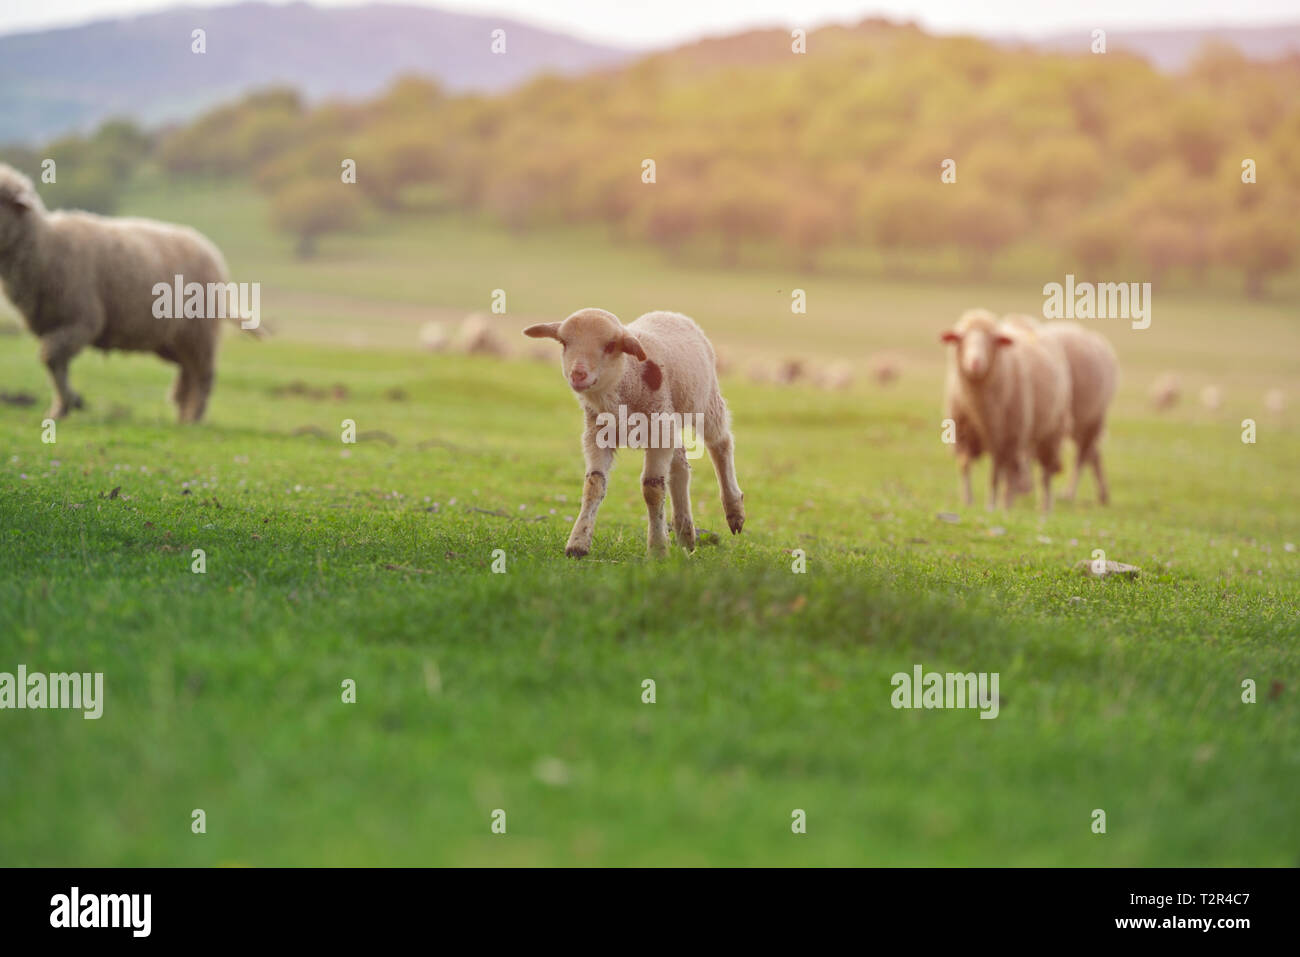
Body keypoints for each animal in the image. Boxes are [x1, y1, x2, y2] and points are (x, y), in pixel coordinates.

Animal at [0, 163, 242, 422]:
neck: (45, 246)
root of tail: (209, 248)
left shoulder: (83, 321)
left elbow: (50, 358)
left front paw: (68, 403)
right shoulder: (57, 325)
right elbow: (57, 365)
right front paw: (63, 406)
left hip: (199, 331)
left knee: (203, 375)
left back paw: (192, 417)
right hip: (174, 339)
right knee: (187, 372)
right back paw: (182, 413)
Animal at [524, 308, 744, 557]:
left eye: (610, 345)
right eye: (563, 342)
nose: (578, 375)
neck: (627, 378)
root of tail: (669, 313)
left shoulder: (657, 430)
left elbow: (652, 488)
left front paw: (657, 549)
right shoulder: (597, 434)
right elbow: (594, 484)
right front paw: (578, 543)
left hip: (705, 402)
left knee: (721, 444)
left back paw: (734, 510)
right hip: (670, 417)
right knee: (680, 467)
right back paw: (685, 533)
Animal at [941, 309, 1070, 511]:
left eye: (991, 340)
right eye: (962, 338)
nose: (975, 363)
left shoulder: (1004, 440)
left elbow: (995, 477)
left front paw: (994, 506)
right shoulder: (962, 435)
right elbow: (965, 466)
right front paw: (967, 501)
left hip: (1050, 432)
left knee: (1043, 474)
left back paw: (1043, 507)